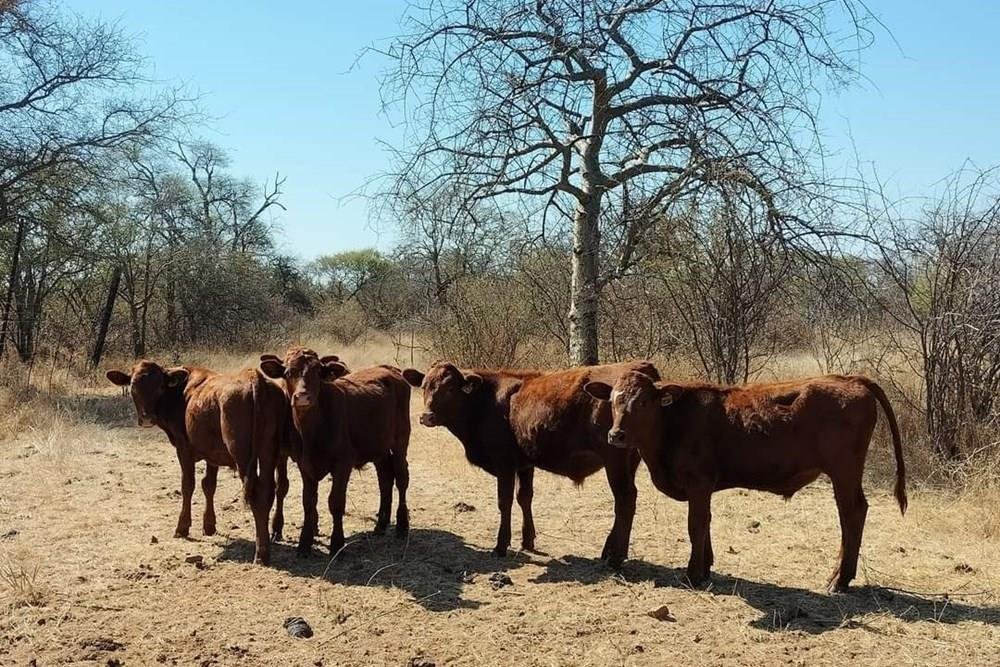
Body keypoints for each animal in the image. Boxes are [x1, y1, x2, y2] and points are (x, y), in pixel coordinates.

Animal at [105, 361, 288, 564]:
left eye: (160, 386)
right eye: (133, 387)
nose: (146, 418)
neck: (181, 394)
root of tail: (255, 378)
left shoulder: (183, 448)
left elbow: (188, 485)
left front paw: (182, 527)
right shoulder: (213, 454)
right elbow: (209, 485)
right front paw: (209, 525)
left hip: (243, 455)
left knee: (257, 495)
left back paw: (260, 553)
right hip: (268, 452)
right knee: (268, 491)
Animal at [260, 349, 410, 557]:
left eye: (317, 372)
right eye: (288, 373)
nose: (303, 396)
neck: (312, 430)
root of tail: (391, 370)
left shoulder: (343, 464)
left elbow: (336, 502)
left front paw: (337, 544)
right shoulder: (304, 465)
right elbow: (308, 502)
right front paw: (304, 543)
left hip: (401, 440)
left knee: (401, 478)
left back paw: (402, 526)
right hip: (379, 447)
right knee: (385, 479)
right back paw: (380, 525)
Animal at [402, 360, 659, 567]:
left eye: (450, 388)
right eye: (425, 386)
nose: (426, 416)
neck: (485, 402)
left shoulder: (504, 464)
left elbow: (504, 502)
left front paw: (501, 545)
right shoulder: (525, 464)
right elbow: (524, 497)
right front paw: (527, 540)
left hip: (615, 460)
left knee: (624, 499)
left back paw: (616, 557)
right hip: (629, 462)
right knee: (628, 499)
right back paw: (609, 551)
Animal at [584, 371, 907, 592]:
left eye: (643, 403)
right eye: (613, 400)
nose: (616, 435)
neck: (672, 422)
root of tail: (850, 378)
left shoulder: (698, 482)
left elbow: (696, 524)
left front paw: (693, 574)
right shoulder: (705, 487)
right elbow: (706, 522)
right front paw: (706, 567)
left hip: (844, 472)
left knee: (852, 514)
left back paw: (839, 579)